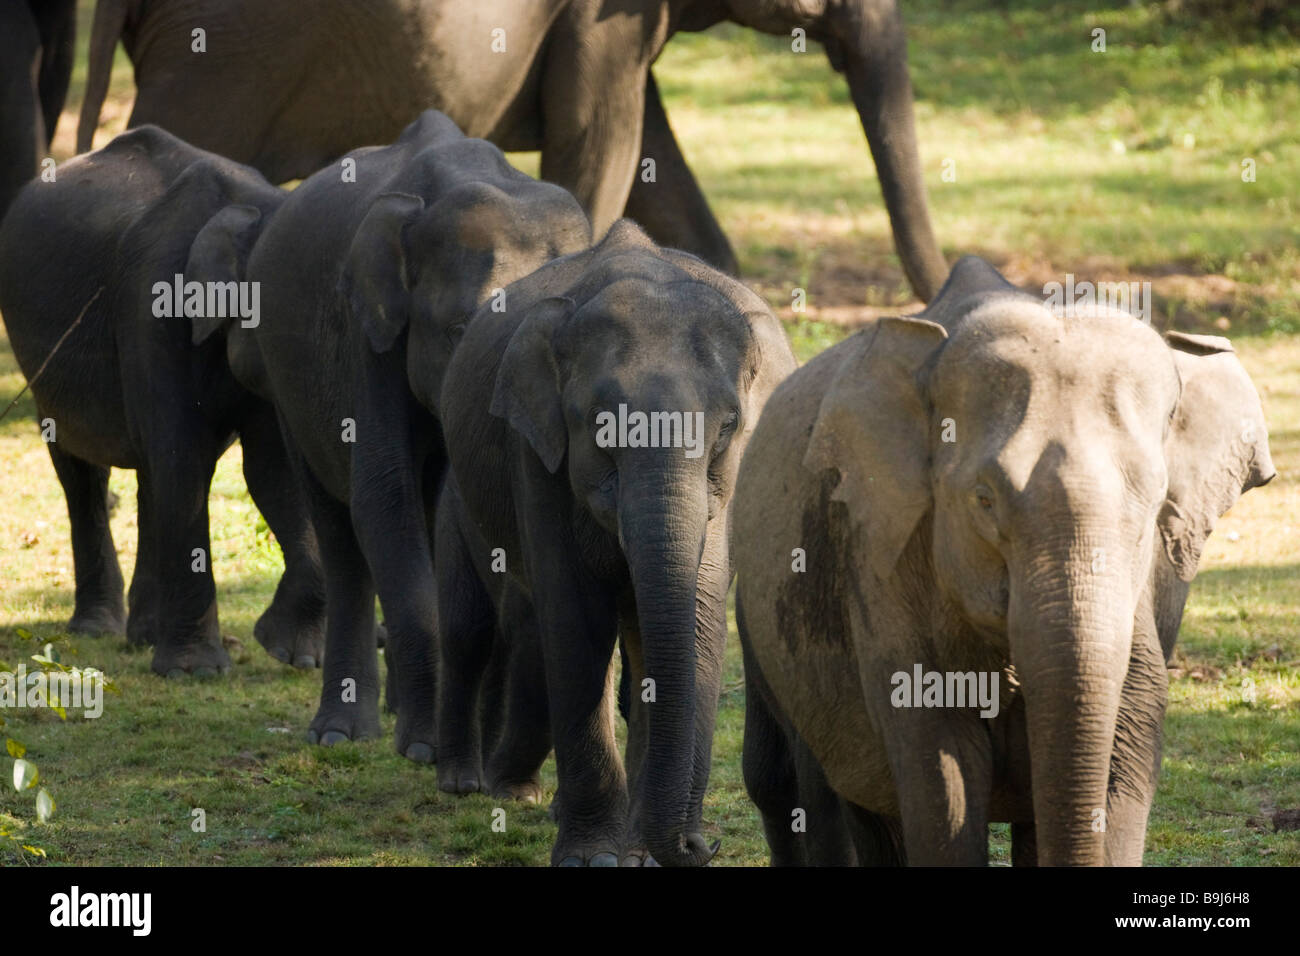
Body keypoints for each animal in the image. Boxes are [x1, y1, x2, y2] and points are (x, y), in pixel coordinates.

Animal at [0, 125, 326, 676]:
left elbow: (271, 468)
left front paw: (292, 653)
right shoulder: (153, 304)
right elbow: (184, 458)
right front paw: (197, 672)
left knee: (152, 473)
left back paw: (145, 636)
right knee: (83, 467)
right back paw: (100, 629)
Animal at [189, 110, 592, 760]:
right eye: (459, 329)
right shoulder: (367, 333)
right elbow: (383, 495)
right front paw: (429, 749)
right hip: (290, 382)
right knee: (341, 529)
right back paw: (341, 731)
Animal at [435, 218, 798, 865]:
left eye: (728, 429)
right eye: (602, 429)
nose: (700, 843)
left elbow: (697, 618)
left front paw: (643, 853)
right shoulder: (536, 453)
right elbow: (577, 621)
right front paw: (592, 856)